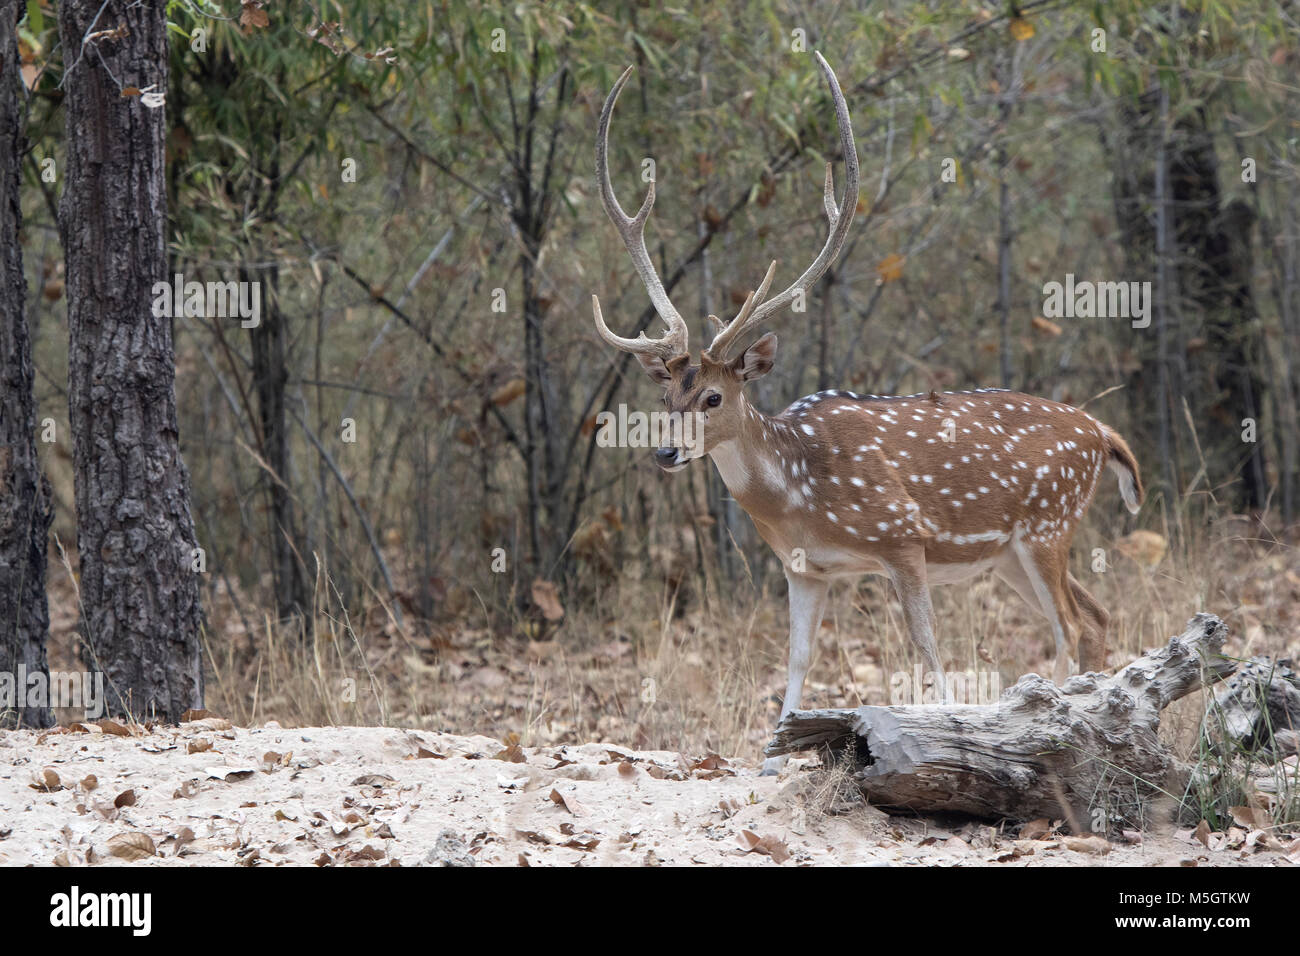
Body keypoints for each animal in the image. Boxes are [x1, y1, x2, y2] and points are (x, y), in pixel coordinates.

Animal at [590, 53, 1144, 773]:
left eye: (714, 396)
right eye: (666, 395)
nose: (664, 452)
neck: (800, 492)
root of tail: (1102, 433)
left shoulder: (904, 536)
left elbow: (927, 647)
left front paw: (950, 740)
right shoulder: (803, 569)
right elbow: (797, 661)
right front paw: (771, 759)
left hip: (1048, 523)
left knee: (1070, 624)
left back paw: (1048, 722)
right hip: (1008, 554)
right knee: (1096, 616)